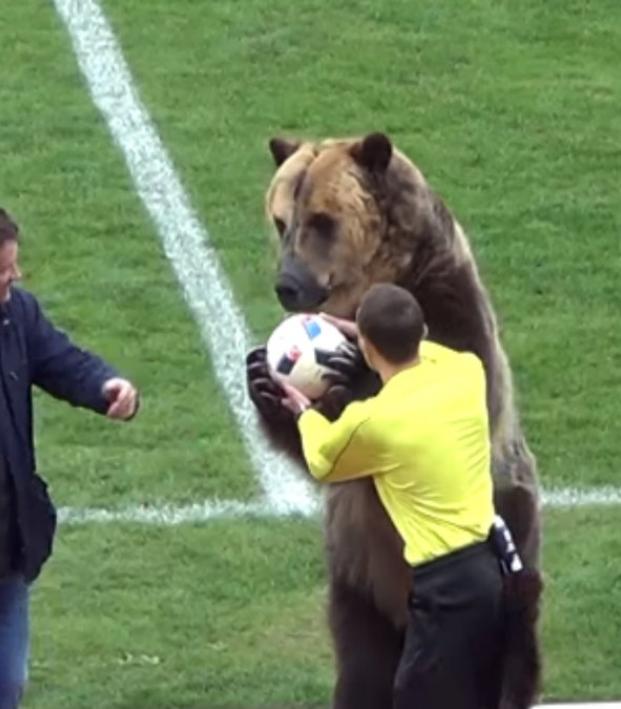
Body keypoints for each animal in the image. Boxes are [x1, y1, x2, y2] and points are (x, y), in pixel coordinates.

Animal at [246, 132, 543, 709]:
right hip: (357, 577)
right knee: (363, 666)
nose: (288, 284)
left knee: (512, 647)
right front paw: (262, 381)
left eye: (323, 220)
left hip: (512, 535)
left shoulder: (451, 304)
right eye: (280, 218)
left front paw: (356, 372)